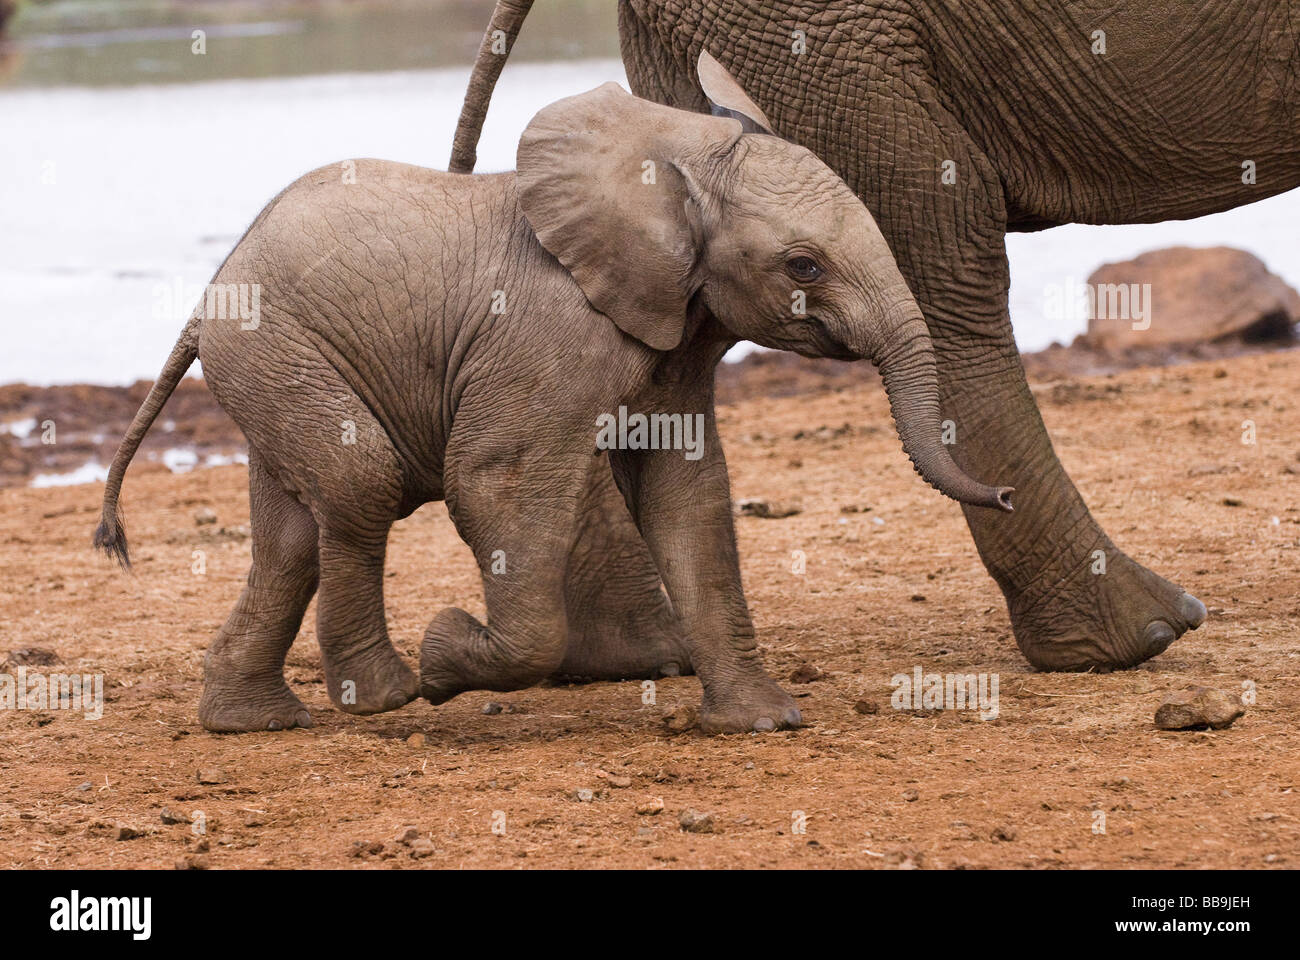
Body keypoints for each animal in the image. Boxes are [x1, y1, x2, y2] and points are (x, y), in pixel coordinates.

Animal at [93, 59, 1011, 734]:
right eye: (803, 265)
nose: (1002, 494)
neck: (673, 159)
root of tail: (206, 299)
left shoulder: (672, 334)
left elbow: (690, 499)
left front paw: (762, 725)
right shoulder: (549, 334)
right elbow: (491, 480)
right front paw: (445, 655)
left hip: (274, 366)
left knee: (291, 537)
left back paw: (252, 722)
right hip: (277, 352)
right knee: (358, 485)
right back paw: (388, 694)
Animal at [451, 0, 1300, 671]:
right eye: (800, 265)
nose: (999, 495)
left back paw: (626, 657)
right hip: (829, 31)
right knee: (943, 254)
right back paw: (1143, 632)